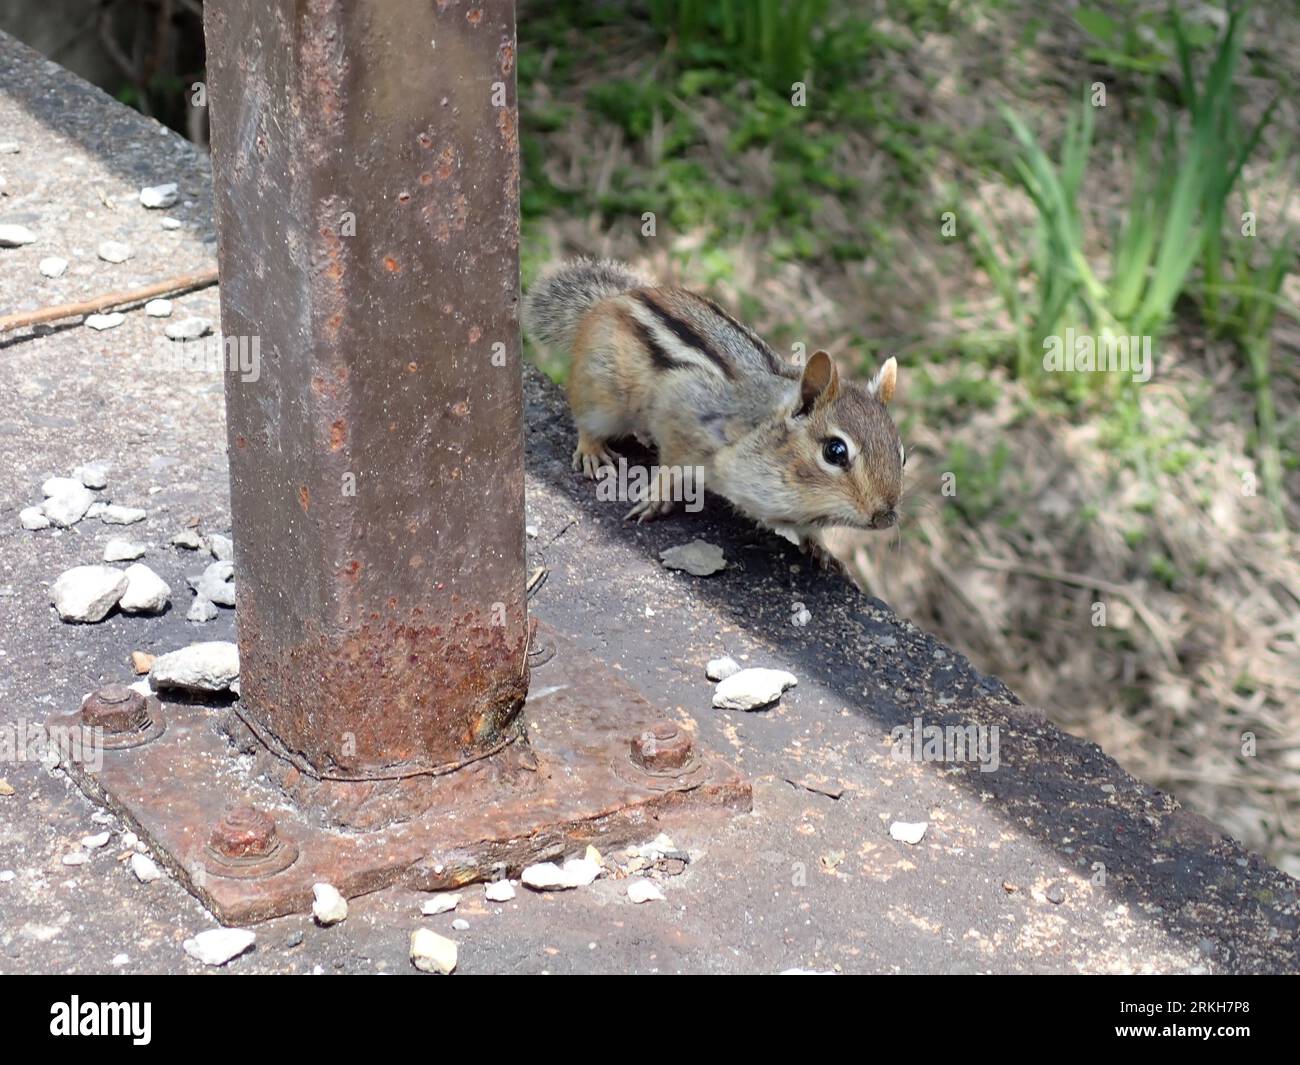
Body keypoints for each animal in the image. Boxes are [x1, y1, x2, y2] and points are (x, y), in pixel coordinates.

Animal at [523, 258, 904, 555]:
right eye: (835, 452)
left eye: (901, 455)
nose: (885, 517)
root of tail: (609, 299)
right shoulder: (685, 416)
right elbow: (671, 466)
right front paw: (656, 497)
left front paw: (820, 547)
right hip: (603, 395)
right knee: (588, 422)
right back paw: (593, 450)